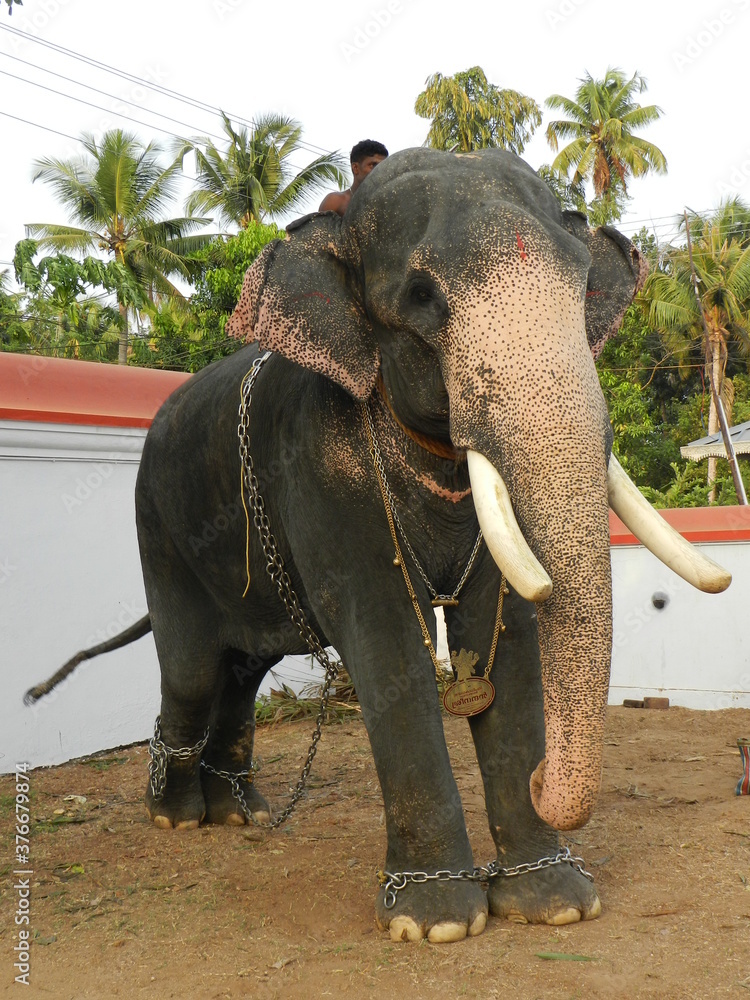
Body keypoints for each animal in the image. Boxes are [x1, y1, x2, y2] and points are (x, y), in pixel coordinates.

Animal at [29, 147, 731, 944]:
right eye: (423, 297)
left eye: (582, 287)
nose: (543, 778)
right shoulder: (322, 466)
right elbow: (387, 638)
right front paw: (437, 924)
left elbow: (508, 633)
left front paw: (555, 903)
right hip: (157, 525)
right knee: (192, 668)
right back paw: (176, 818)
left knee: (242, 668)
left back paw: (242, 812)